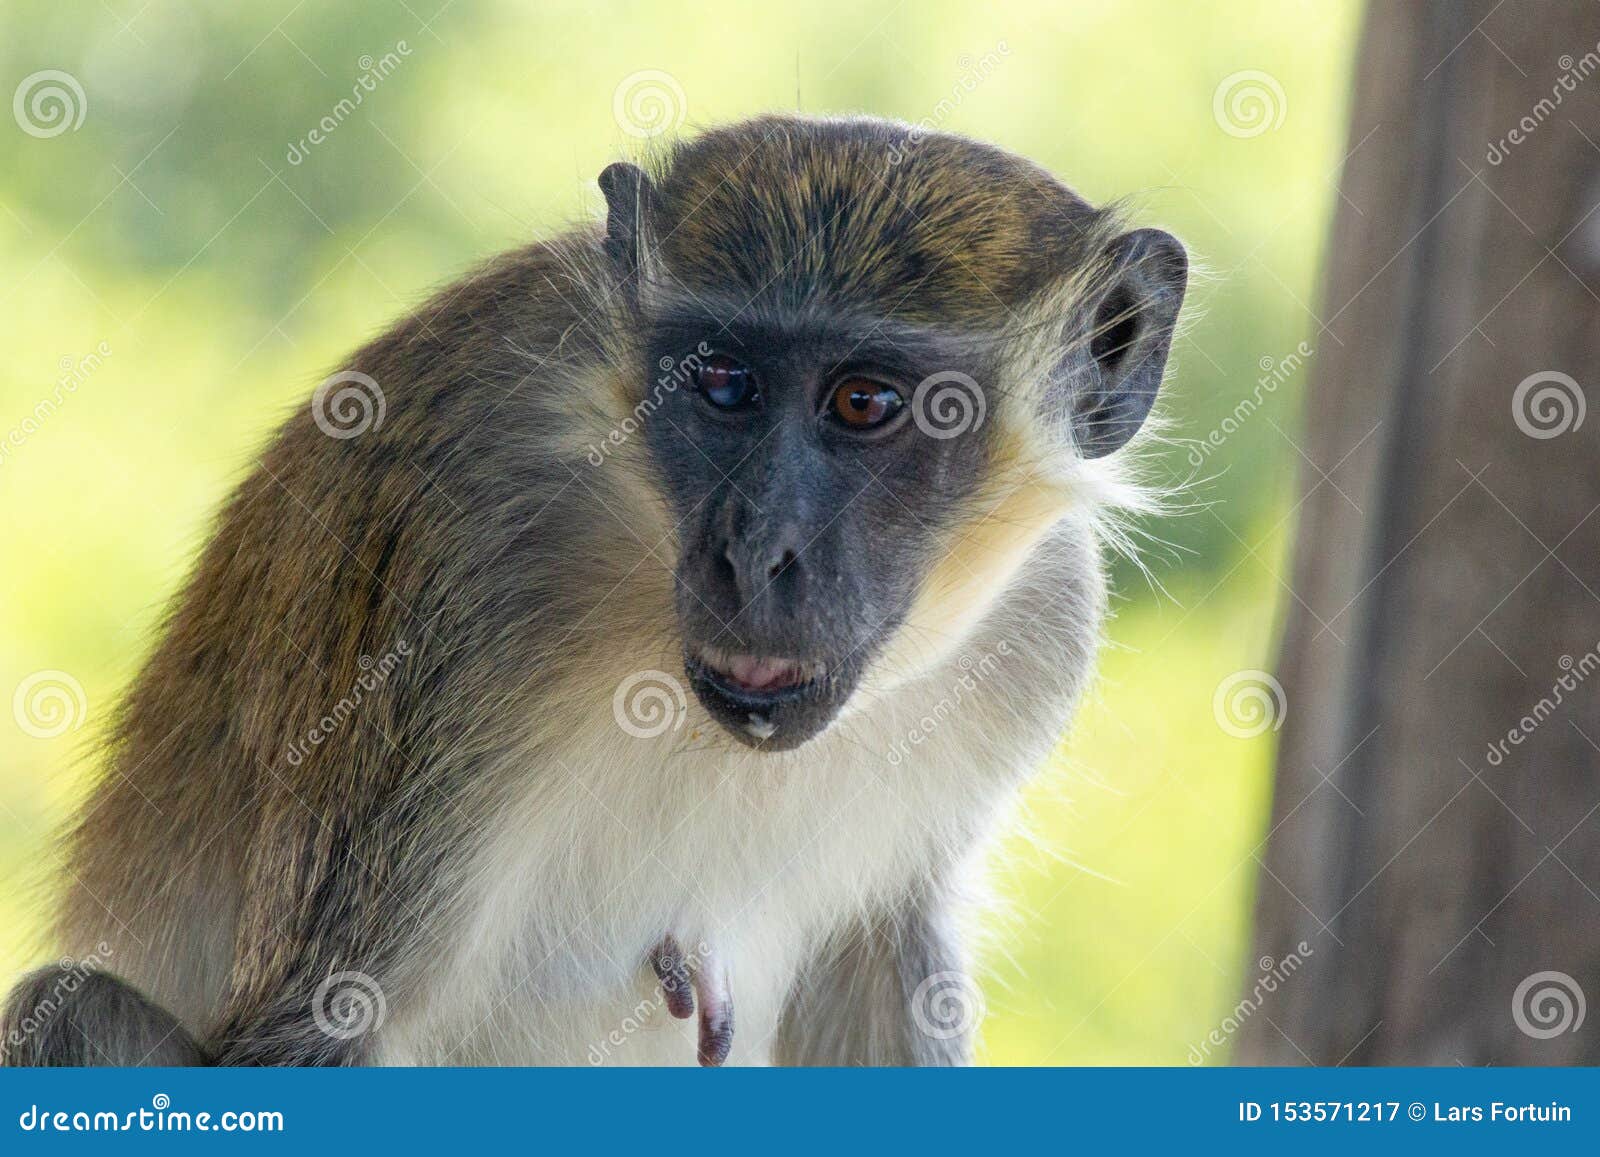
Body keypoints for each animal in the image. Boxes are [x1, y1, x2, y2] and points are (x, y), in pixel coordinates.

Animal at [1, 113, 1186, 1067]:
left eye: (864, 402)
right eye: (723, 382)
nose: (755, 550)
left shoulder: (1048, 613)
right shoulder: (466, 566)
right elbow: (318, 1030)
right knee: (74, 1007)